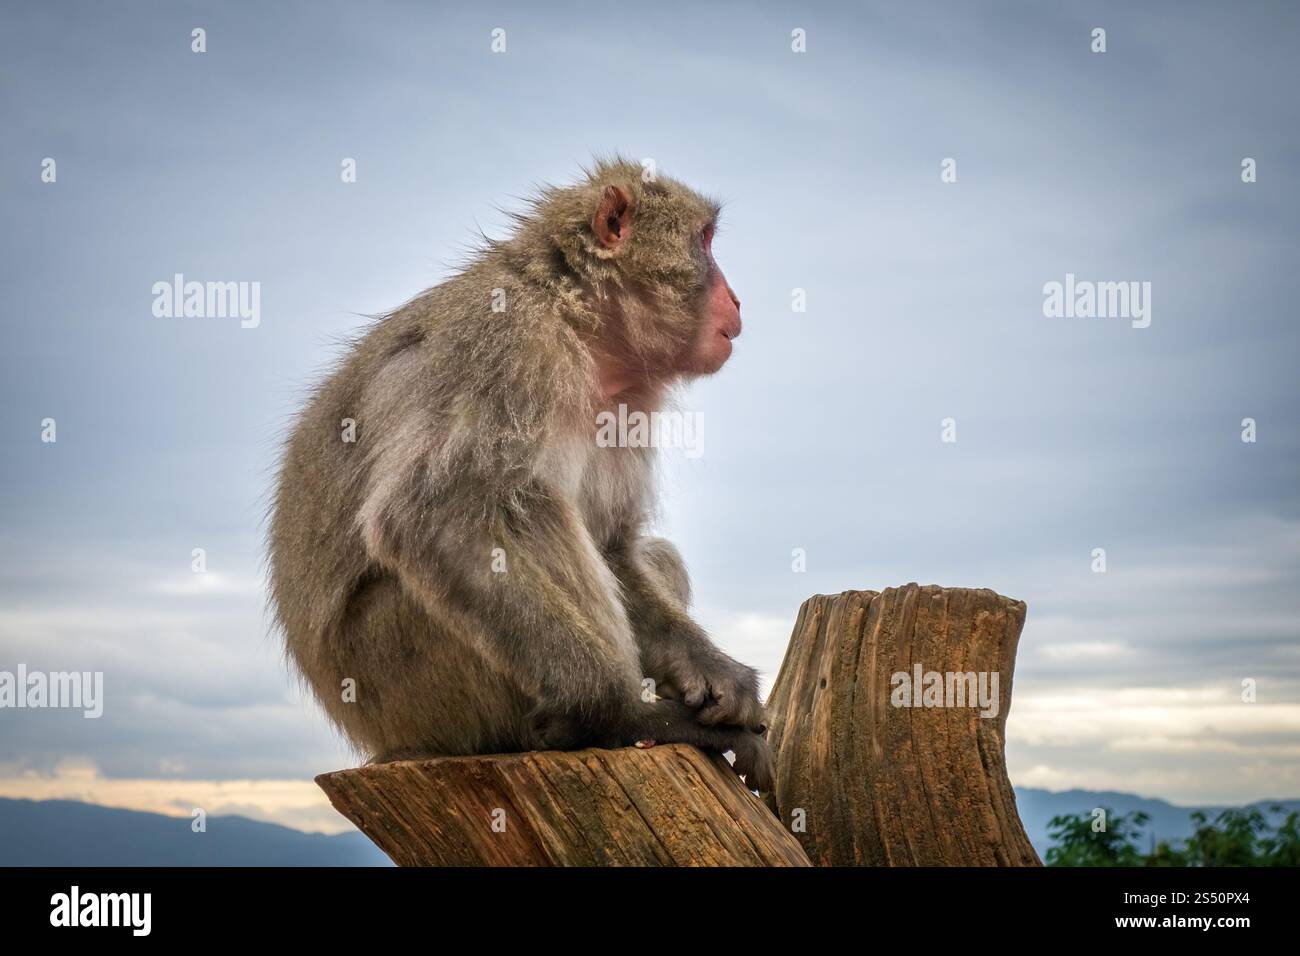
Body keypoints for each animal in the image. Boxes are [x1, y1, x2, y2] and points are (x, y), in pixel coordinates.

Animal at [268, 158, 772, 791]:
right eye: (704, 241)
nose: (737, 299)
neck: (575, 323)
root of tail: (378, 740)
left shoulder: (628, 404)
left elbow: (613, 544)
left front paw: (718, 675)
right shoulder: (505, 347)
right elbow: (429, 519)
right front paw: (618, 708)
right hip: (404, 679)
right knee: (524, 503)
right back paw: (622, 724)